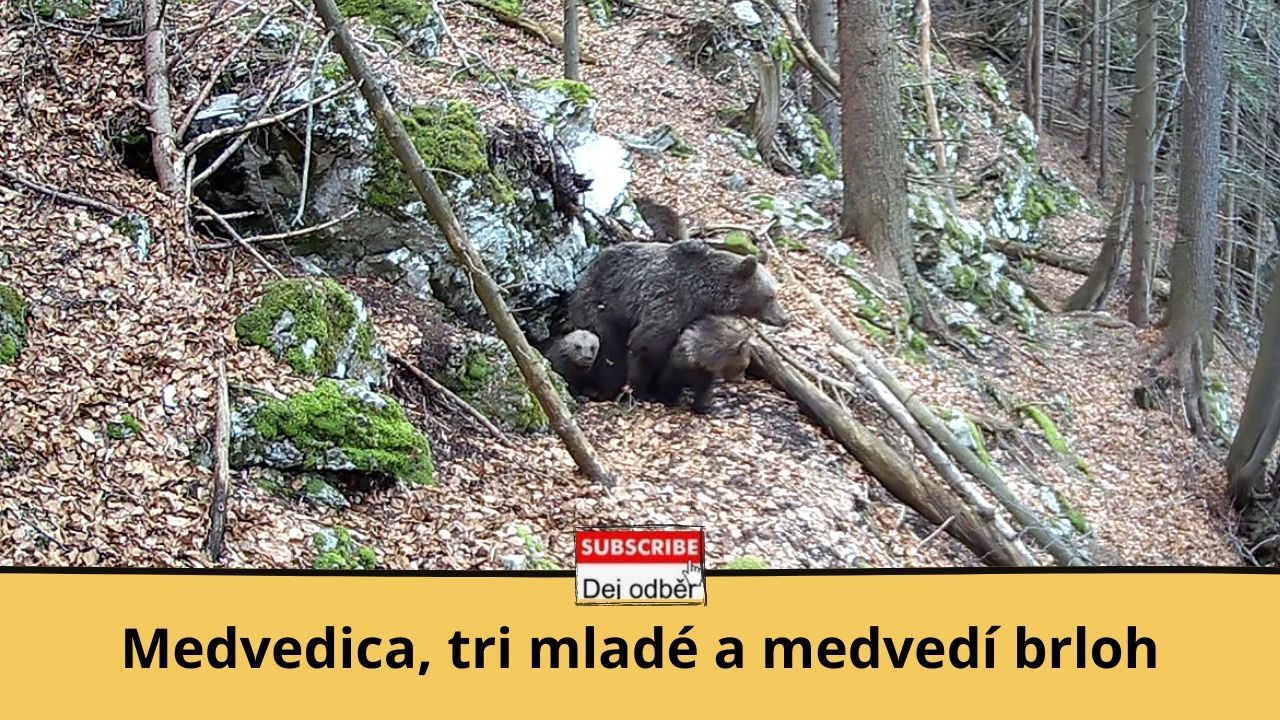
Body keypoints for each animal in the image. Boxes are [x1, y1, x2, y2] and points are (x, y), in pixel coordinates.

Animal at [564, 239, 788, 401]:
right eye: (771, 296)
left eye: (775, 293)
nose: (785, 318)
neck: (703, 295)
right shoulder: (669, 304)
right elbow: (646, 344)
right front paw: (642, 390)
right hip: (602, 307)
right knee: (608, 349)